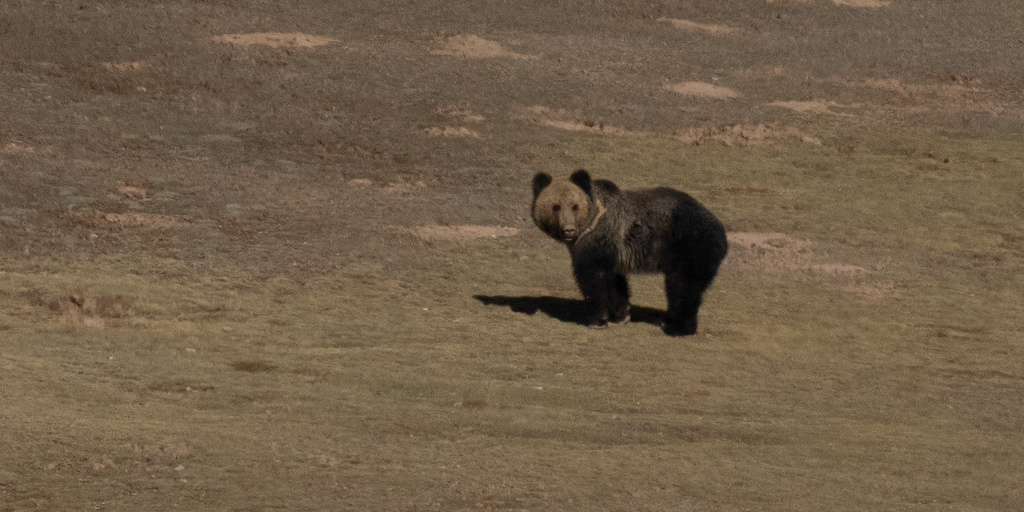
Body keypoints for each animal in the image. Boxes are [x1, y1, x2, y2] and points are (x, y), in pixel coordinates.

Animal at [531, 169, 727, 336]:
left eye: (574, 206)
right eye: (555, 206)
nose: (569, 230)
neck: (590, 222)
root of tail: (721, 231)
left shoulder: (599, 239)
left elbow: (594, 277)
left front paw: (597, 320)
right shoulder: (614, 251)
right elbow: (615, 283)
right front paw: (621, 315)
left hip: (689, 247)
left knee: (682, 286)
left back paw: (677, 327)